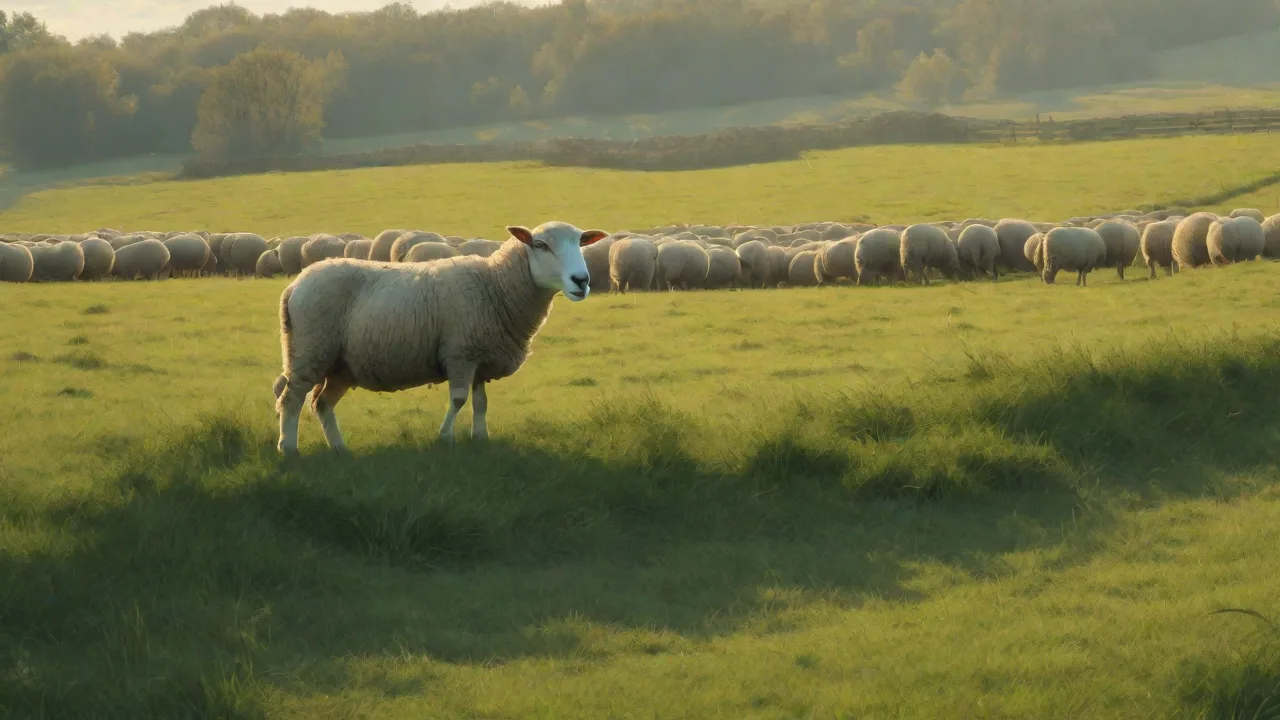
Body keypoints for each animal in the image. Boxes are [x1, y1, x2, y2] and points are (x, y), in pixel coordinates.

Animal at [273, 221, 608, 454]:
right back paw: (289, 449)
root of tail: (295, 285)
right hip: (309, 352)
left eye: (580, 243)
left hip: (341, 366)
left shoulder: (480, 359)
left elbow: (481, 403)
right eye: (540, 245)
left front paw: (480, 439)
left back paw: (340, 450)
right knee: (291, 399)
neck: (496, 285)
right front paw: (444, 438)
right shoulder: (461, 353)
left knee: (321, 403)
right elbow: (459, 400)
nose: (581, 280)